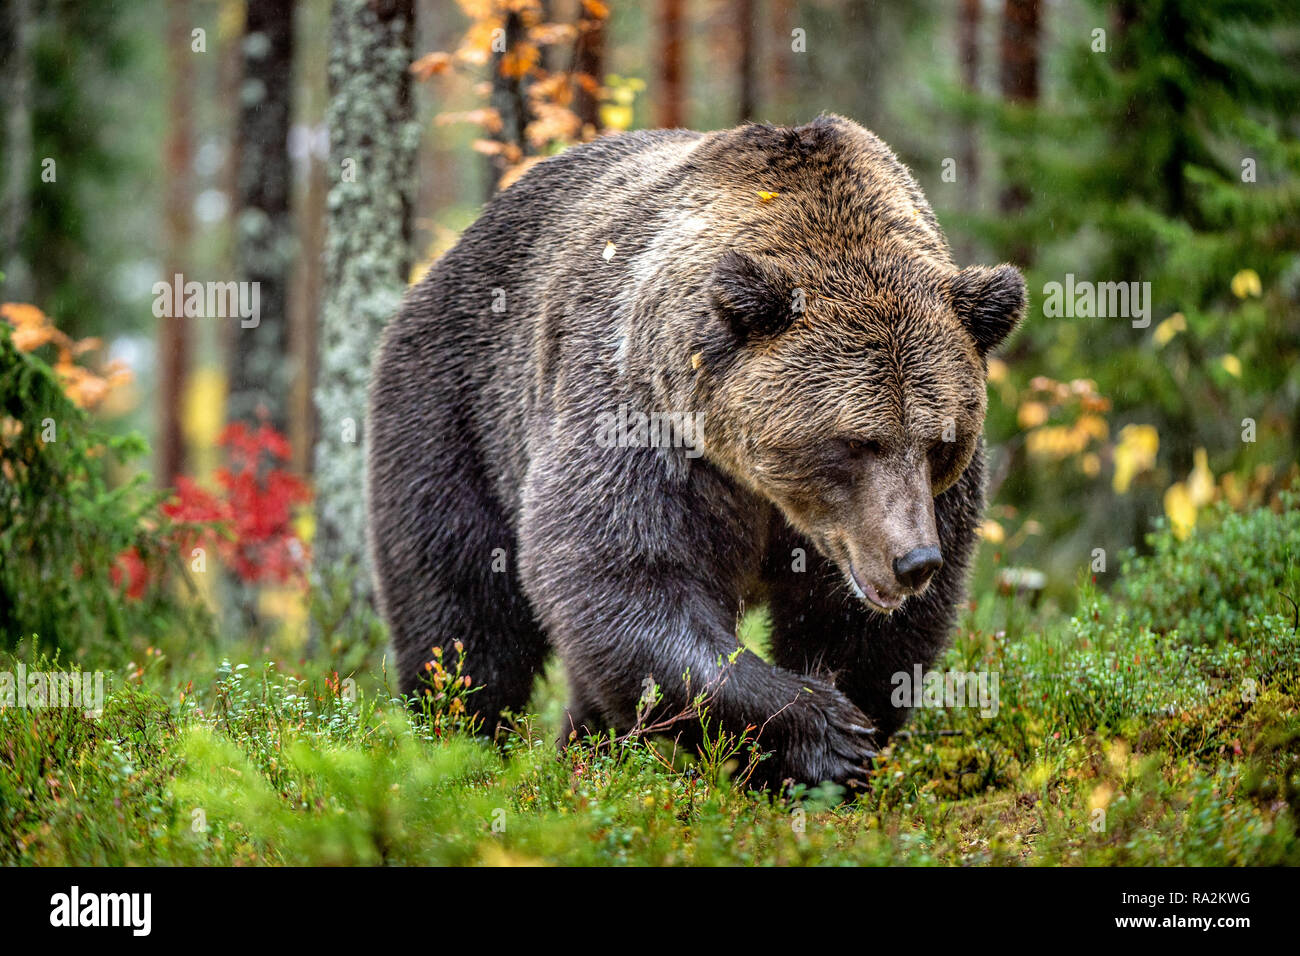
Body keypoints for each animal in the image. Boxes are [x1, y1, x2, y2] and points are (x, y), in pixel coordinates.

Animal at [366, 114, 1025, 789]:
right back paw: (456, 741)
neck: (761, 485)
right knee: (461, 609)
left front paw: (836, 745)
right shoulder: (642, 420)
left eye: (941, 439)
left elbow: (865, 633)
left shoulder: (904, 512)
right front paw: (825, 734)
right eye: (854, 442)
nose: (912, 561)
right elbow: (623, 576)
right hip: (458, 408)